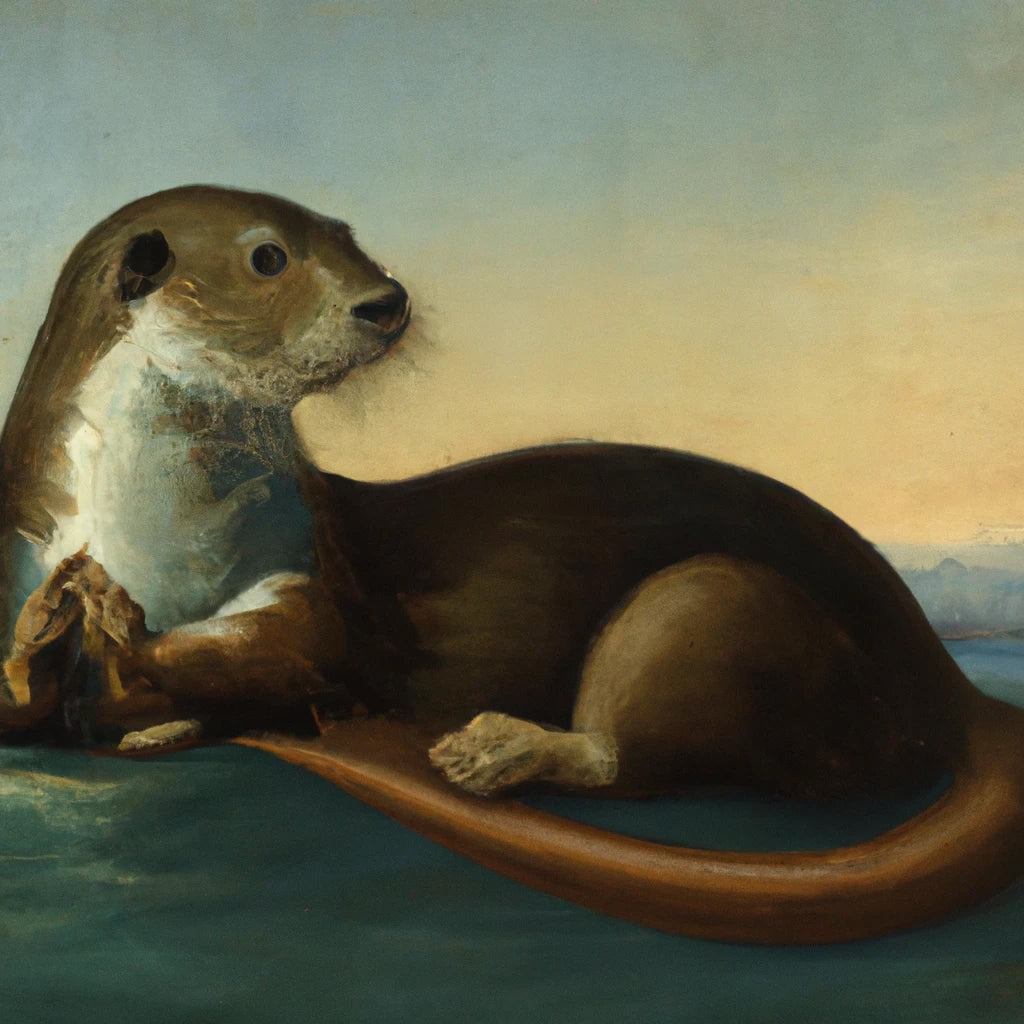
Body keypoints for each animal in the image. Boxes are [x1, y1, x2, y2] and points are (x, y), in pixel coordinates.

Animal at [1, 186, 1021, 945]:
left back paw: (496, 747)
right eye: (268, 258)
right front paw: (50, 647)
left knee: (644, 755)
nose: (387, 300)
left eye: (349, 238)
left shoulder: (309, 576)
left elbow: (276, 644)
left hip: (711, 605)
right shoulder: (24, 542)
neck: (159, 535)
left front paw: (123, 641)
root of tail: (940, 673)